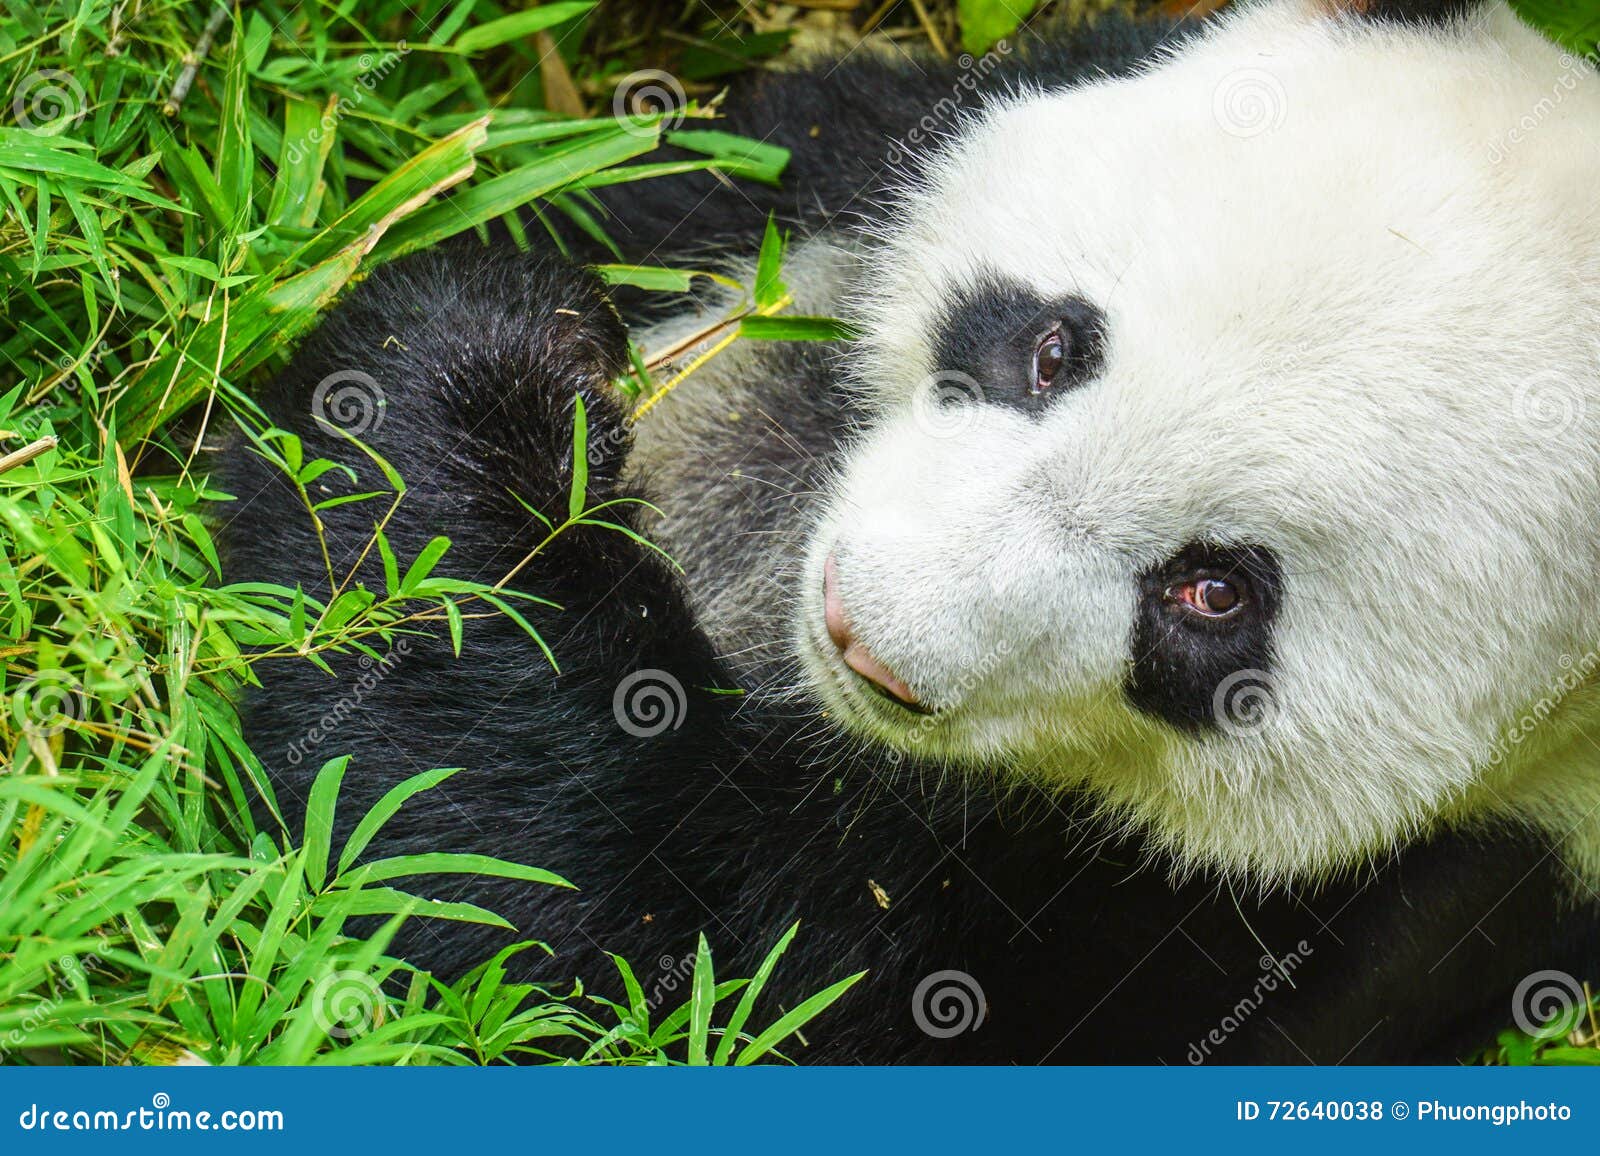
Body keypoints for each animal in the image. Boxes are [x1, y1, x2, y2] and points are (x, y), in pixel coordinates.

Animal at [221, 0, 1600, 1063]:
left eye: (1213, 595)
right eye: (1053, 348)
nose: (865, 631)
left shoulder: (1351, 908)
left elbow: (634, 960)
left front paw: (474, 394)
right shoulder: (834, 162)